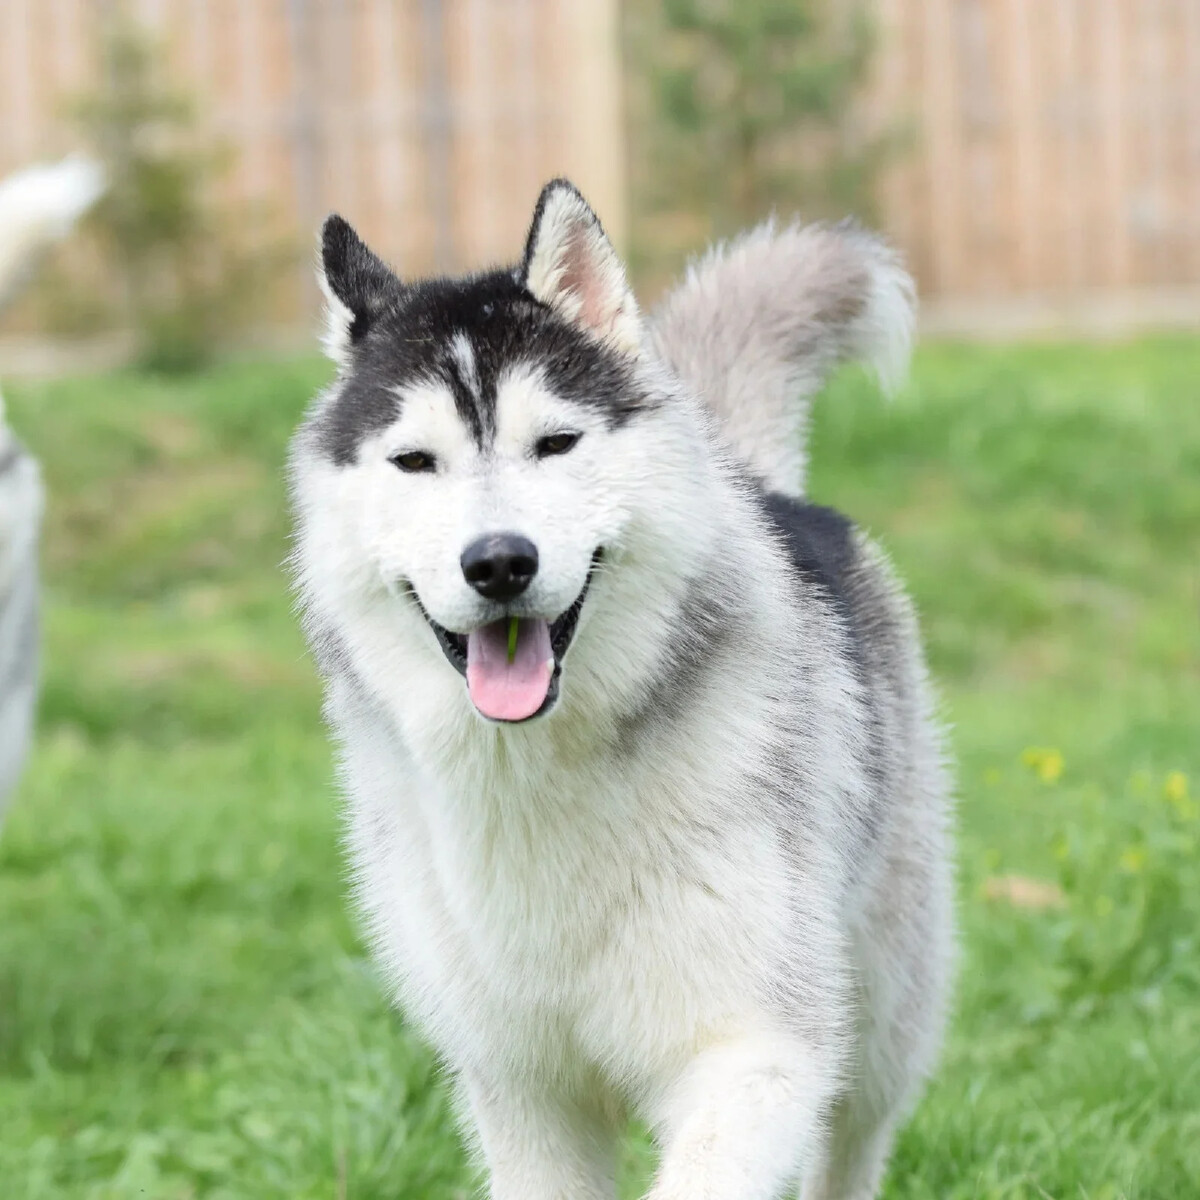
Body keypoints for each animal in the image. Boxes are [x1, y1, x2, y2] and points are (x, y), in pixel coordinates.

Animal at [285, 180, 950, 1200]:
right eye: (415, 462)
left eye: (556, 443)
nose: (500, 562)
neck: (538, 776)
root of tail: (752, 483)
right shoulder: (521, 1093)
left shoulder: (756, 1051)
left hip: (880, 1018)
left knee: (850, 1144)